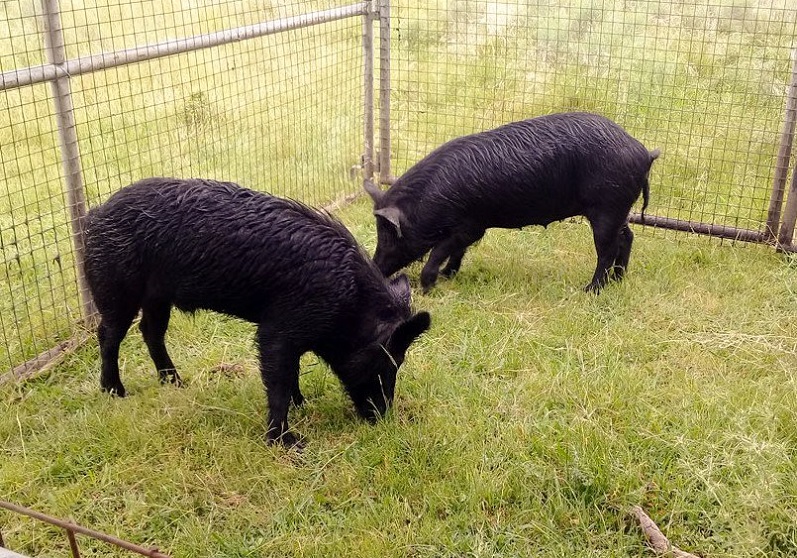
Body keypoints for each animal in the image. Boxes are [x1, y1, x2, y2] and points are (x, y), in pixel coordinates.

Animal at [83, 178, 430, 446]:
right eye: (387, 361)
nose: (382, 417)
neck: (350, 304)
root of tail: (94, 216)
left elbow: (292, 373)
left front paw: (303, 404)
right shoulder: (276, 330)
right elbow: (278, 380)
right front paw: (287, 442)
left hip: (158, 296)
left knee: (151, 331)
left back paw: (176, 383)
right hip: (115, 289)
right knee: (109, 335)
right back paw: (115, 392)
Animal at [365, 112, 659, 293]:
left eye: (390, 235)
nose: (376, 267)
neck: (431, 202)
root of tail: (644, 152)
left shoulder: (470, 226)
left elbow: (441, 250)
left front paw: (427, 286)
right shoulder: (471, 228)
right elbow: (457, 252)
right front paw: (450, 276)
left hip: (607, 208)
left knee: (608, 249)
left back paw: (590, 290)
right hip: (619, 209)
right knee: (627, 237)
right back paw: (619, 280)